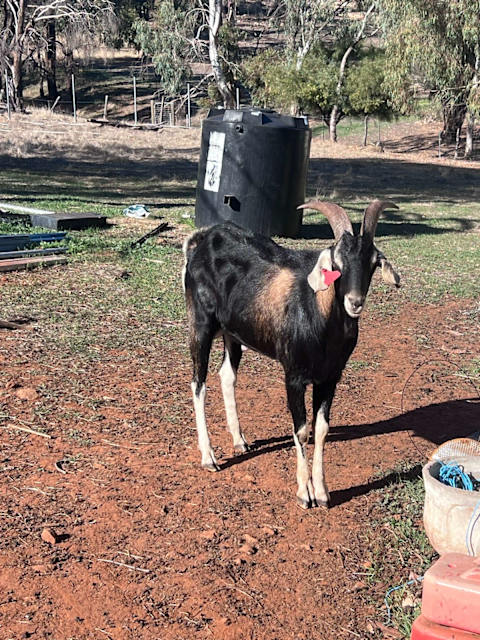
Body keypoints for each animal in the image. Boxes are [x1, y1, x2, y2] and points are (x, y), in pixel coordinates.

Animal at [183, 200, 400, 508]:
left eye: (373, 263)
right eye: (336, 264)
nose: (355, 302)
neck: (317, 314)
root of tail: (201, 240)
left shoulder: (330, 378)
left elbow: (321, 429)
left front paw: (322, 492)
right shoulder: (293, 376)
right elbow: (301, 430)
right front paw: (304, 494)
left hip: (232, 332)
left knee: (226, 375)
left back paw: (239, 440)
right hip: (200, 324)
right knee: (198, 383)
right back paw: (209, 457)